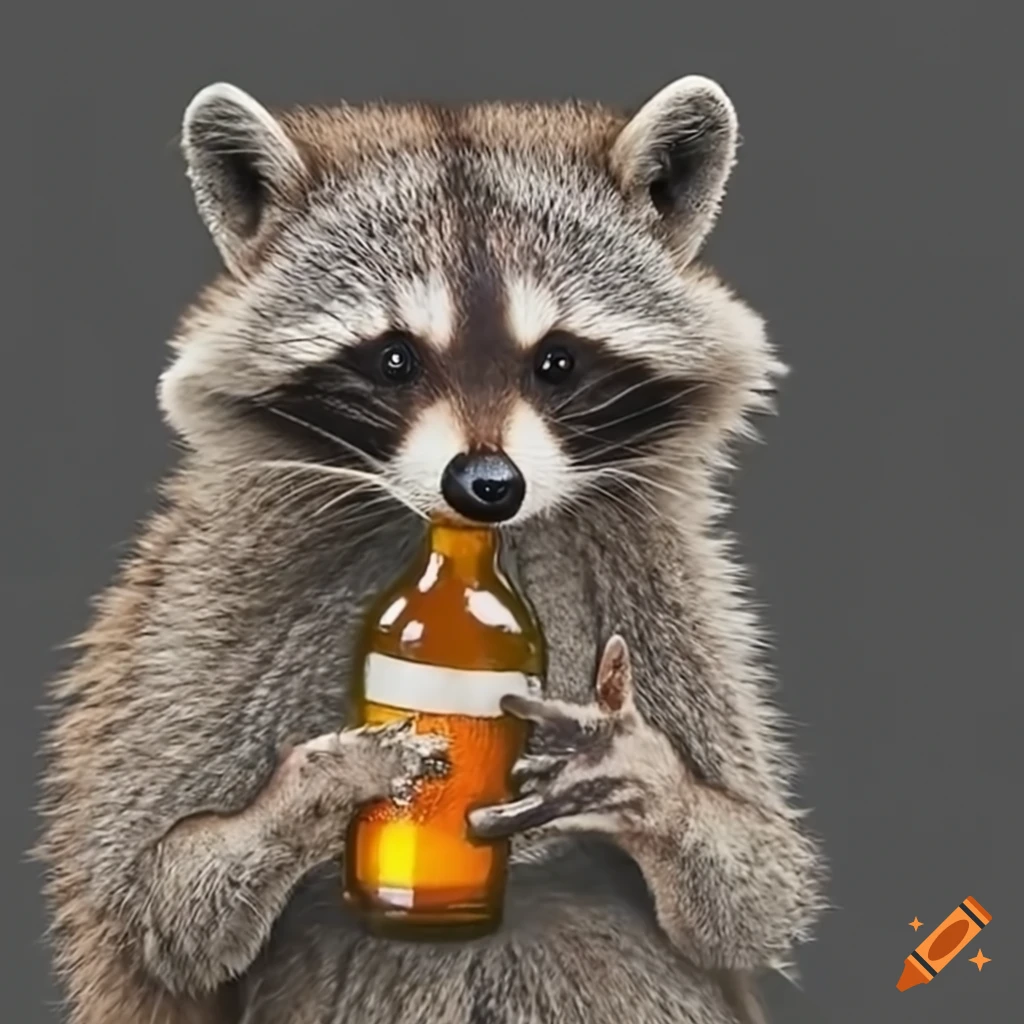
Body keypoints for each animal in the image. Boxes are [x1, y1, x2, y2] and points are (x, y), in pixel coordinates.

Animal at [36, 76, 826, 1024]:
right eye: (394, 361)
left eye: (556, 363)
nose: (487, 484)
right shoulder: (218, 581)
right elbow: (158, 897)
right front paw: (327, 783)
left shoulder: (659, 566)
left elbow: (756, 888)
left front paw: (637, 776)